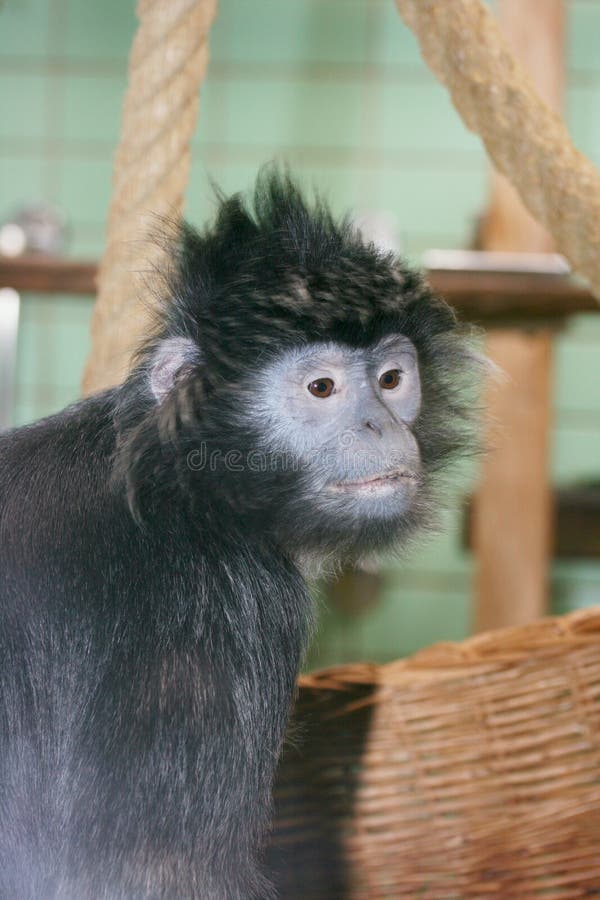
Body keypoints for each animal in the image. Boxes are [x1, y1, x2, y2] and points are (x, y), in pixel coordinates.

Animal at [0, 170, 479, 899]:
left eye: (393, 380)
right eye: (321, 388)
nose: (381, 425)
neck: (171, 482)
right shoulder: (224, 605)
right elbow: (148, 869)